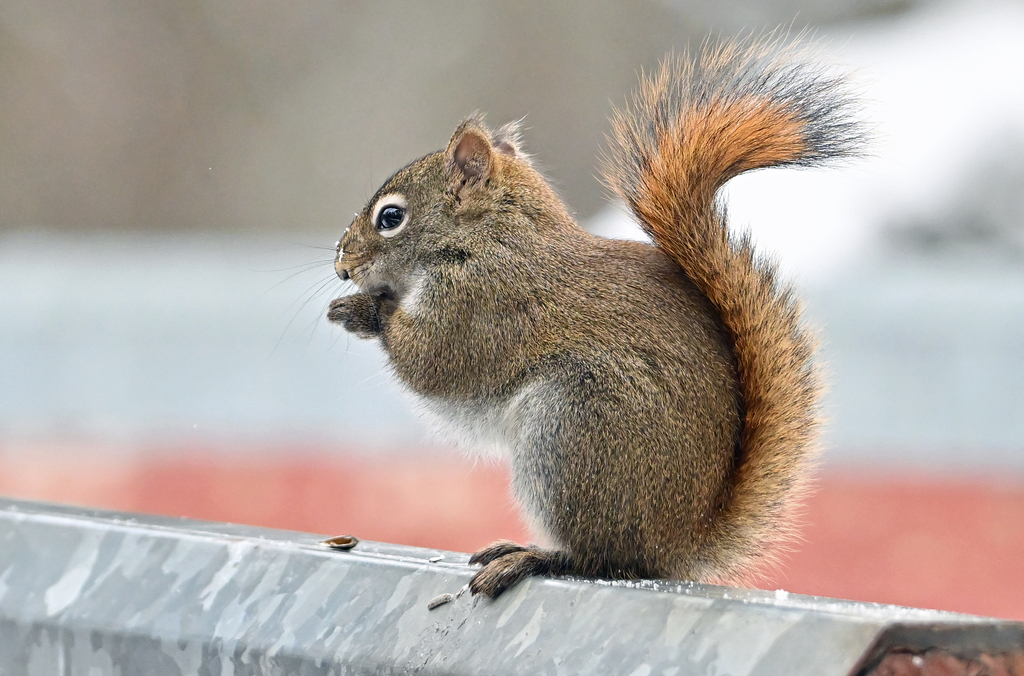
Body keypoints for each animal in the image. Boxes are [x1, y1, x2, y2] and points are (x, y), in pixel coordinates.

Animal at [327, 36, 861, 598]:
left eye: (391, 217)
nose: (341, 264)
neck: (488, 238)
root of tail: (678, 544)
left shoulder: (480, 306)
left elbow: (431, 361)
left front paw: (362, 310)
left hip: (571, 430)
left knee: (598, 558)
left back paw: (532, 557)